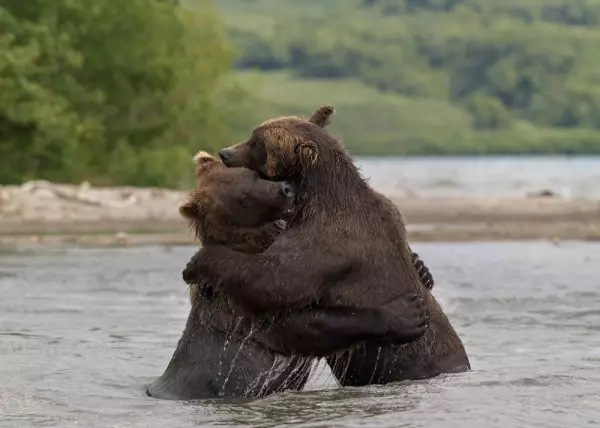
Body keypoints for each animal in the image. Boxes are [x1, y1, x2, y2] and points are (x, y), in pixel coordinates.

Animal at [149, 152, 432, 400]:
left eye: (253, 174)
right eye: (243, 199)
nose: (284, 189)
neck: (255, 242)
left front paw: (422, 269)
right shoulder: (243, 310)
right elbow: (309, 326)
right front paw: (407, 313)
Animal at [185, 105, 472, 386]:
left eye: (257, 143)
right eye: (254, 134)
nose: (225, 153)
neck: (316, 197)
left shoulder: (327, 241)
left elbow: (273, 280)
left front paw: (197, 263)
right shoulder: (390, 212)